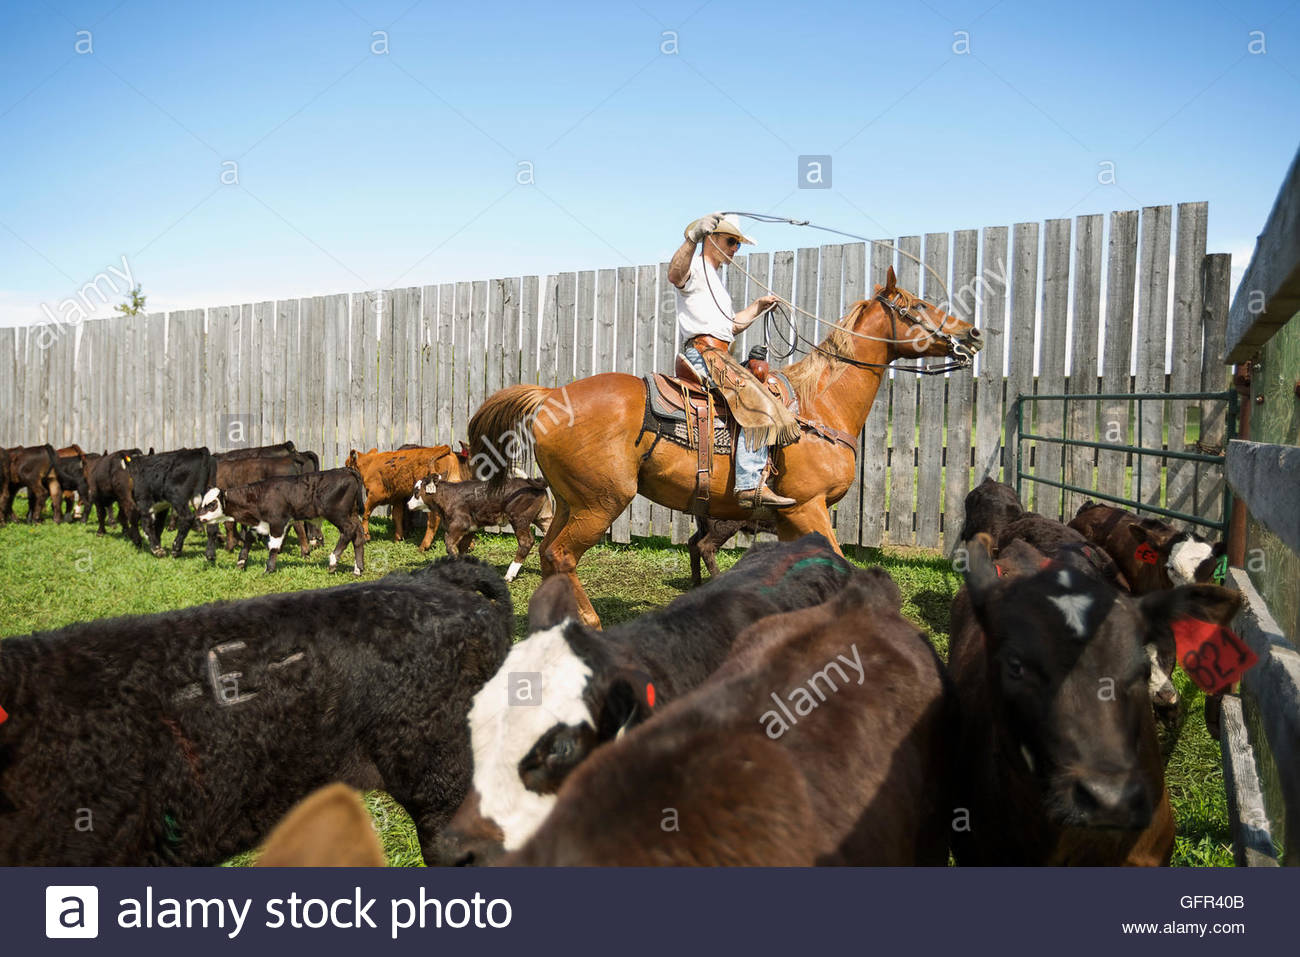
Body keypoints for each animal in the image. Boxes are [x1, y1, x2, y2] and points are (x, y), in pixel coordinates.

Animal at [197, 467, 367, 574]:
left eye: (212, 504)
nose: (199, 517)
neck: (259, 496)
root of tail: (346, 470)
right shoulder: (261, 524)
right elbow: (249, 539)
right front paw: (241, 562)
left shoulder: (278, 523)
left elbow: (273, 546)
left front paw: (268, 569)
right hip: (351, 514)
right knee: (358, 535)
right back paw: (358, 569)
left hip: (338, 514)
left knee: (348, 531)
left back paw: (333, 562)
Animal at [407, 472, 553, 580]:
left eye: (416, 491)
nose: (408, 504)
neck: (447, 498)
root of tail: (532, 482)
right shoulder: (469, 529)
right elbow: (462, 548)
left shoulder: (459, 524)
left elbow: (449, 544)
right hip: (543, 517)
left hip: (519, 518)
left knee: (526, 542)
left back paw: (509, 575)